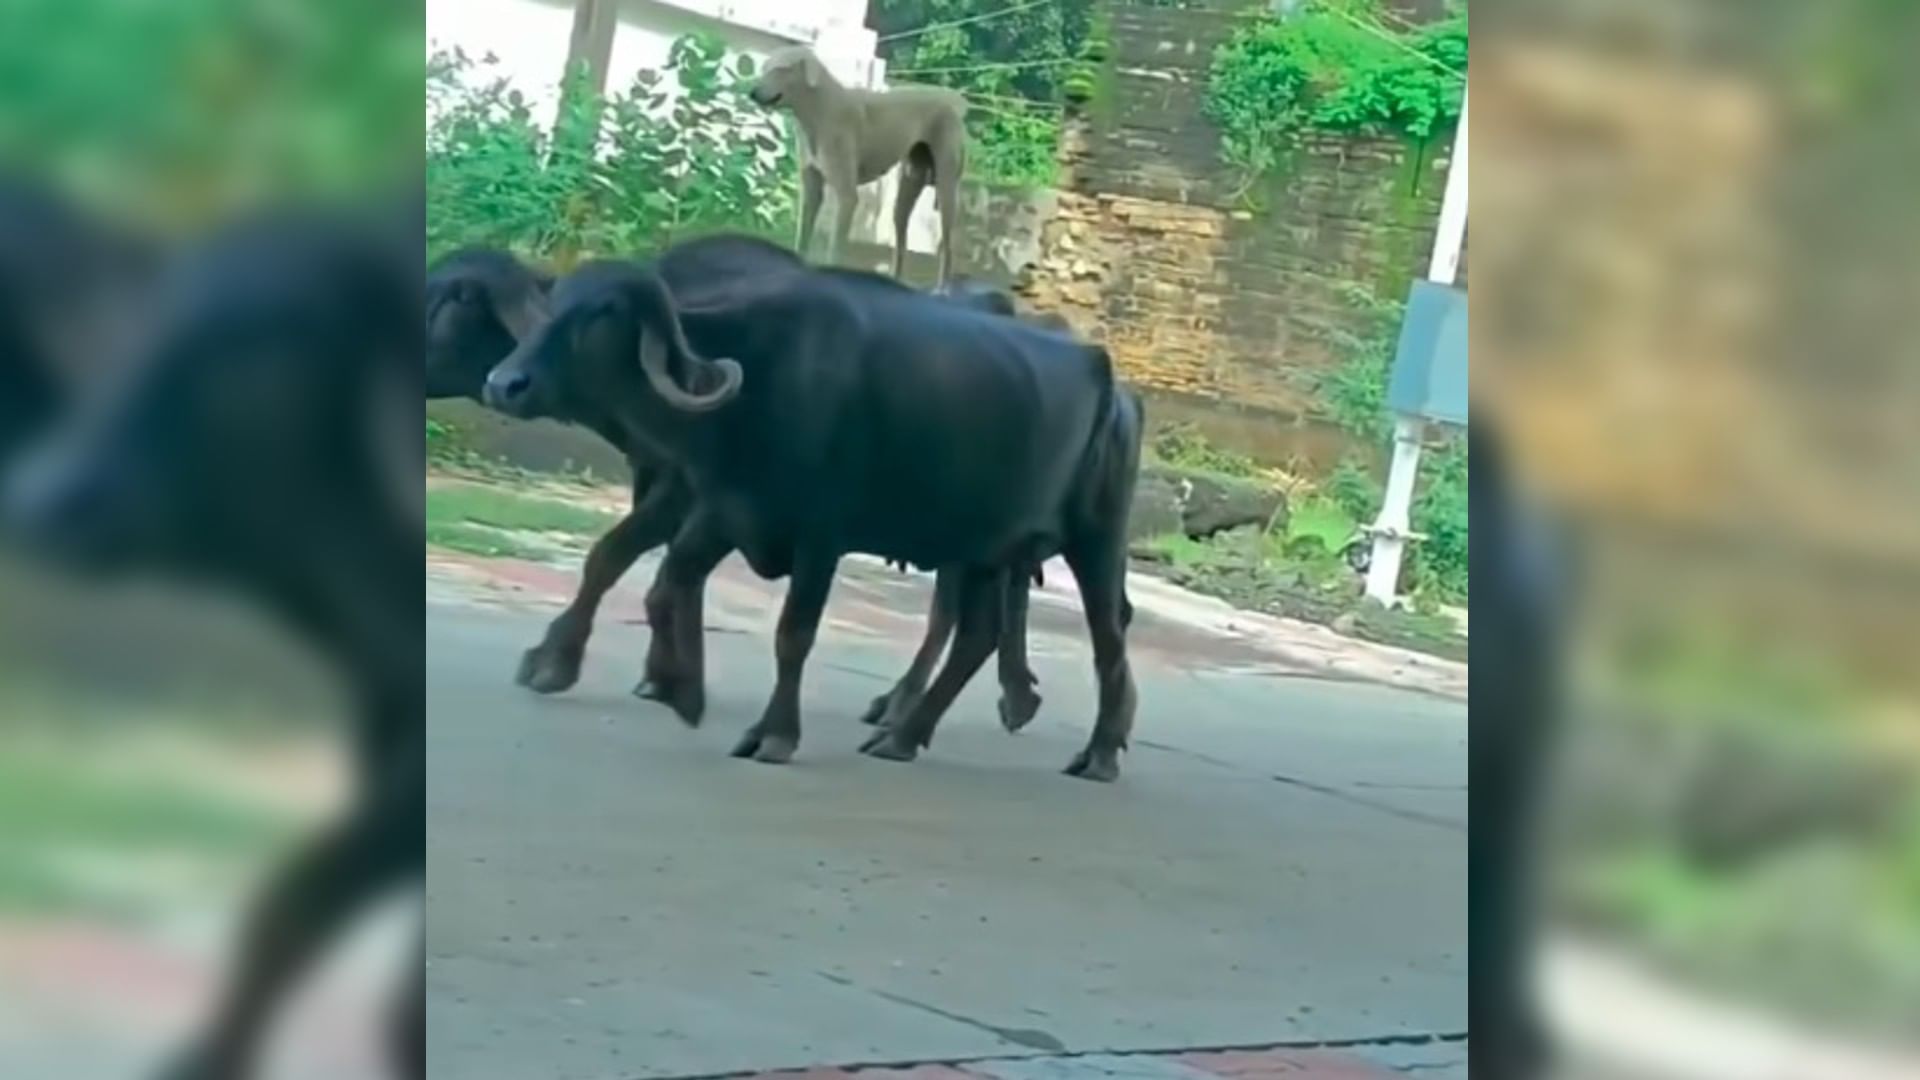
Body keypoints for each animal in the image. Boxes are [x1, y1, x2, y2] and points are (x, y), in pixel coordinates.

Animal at [485, 252, 1142, 780]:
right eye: (555, 306)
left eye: (601, 315)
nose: (503, 382)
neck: (758, 381)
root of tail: (1113, 386)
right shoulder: (726, 508)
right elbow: (659, 579)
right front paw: (677, 687)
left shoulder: (818, 537)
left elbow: (792, 635)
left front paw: (772, 733)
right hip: (984, 548)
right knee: (976, 635)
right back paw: (904, 734)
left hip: (1094, 540)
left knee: (1108, 638)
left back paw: (1098, 753)